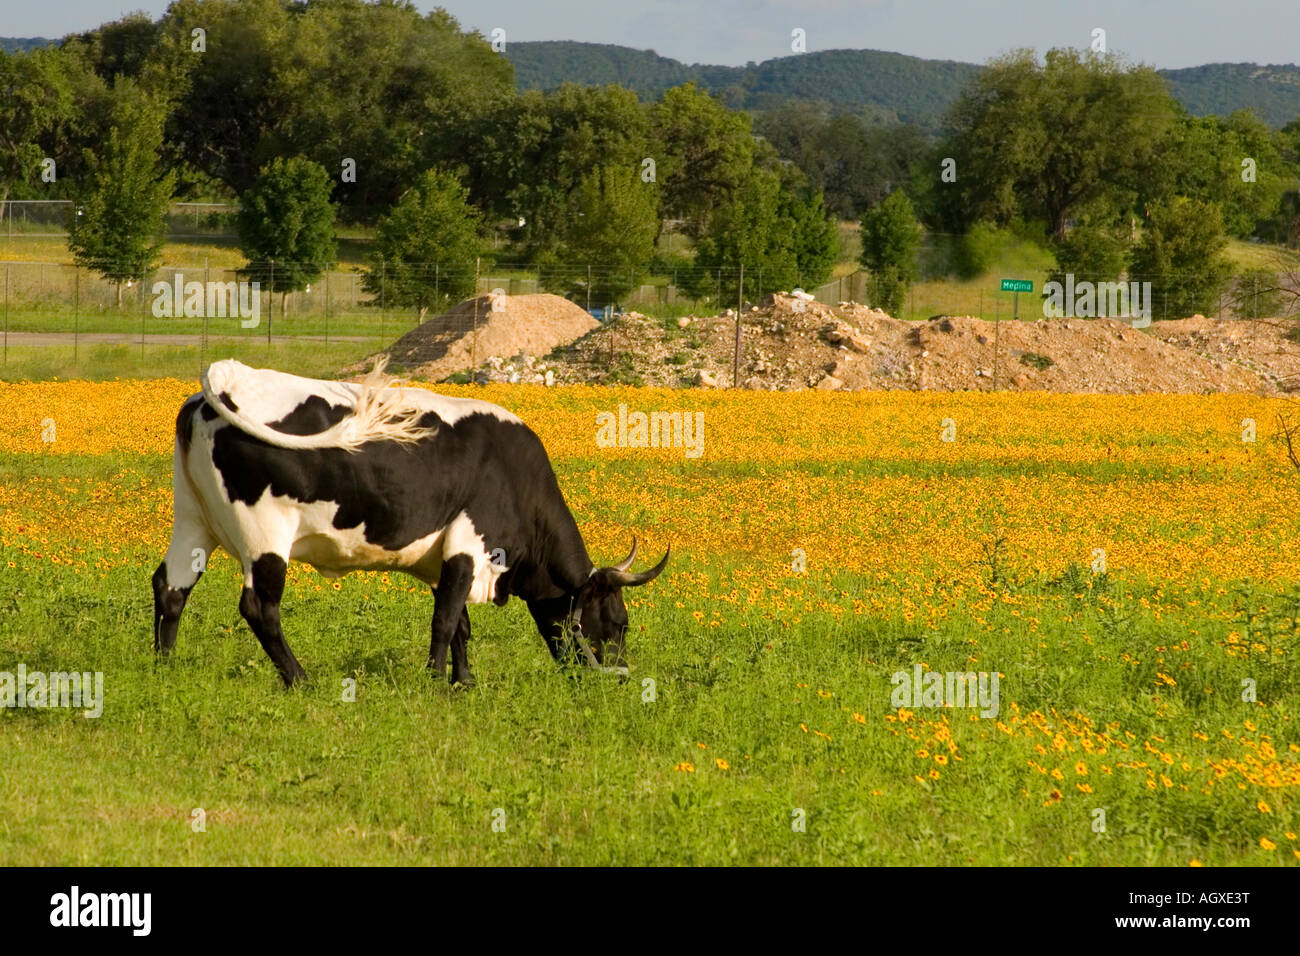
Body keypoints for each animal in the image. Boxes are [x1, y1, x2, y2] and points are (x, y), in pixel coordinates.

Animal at [151, 359, 669, 687]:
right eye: (619, 623)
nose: (618, 681)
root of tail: (211, 395)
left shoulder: (443, 560)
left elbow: (460, 625)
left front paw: (464, 681)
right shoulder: (468, 545)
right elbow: (445, 620)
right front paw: (437, 681)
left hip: (193, 523)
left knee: (171, 586)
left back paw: (165, 666)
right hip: (265, 538)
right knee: (260, 608)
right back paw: (300, 679)